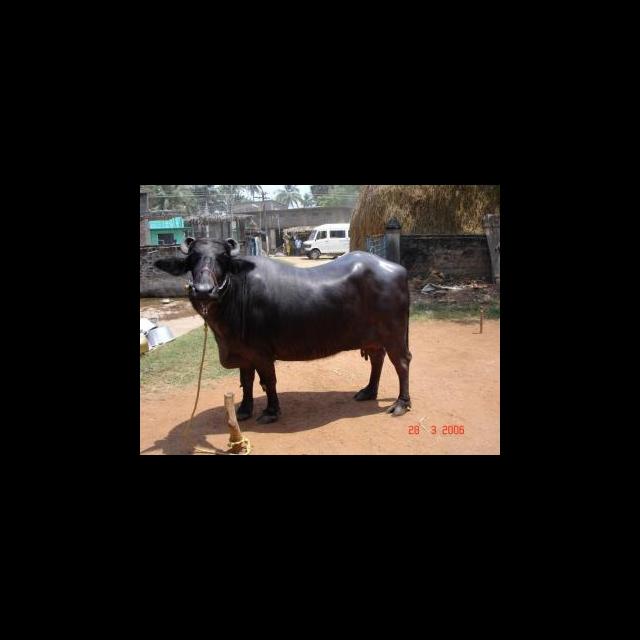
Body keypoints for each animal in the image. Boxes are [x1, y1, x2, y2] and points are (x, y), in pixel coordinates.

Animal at [154, 237, 412, 424]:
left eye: (223, 258)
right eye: (192, 259)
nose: (204, 290)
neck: (237, 295)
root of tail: (398, 269)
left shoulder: (262, 354)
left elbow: (268, 381)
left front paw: (271, 411)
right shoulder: (244, 353)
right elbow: (246, 381)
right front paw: (244, 410)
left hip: (395, 335)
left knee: (402, 363)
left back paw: (401, 403)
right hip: (373, 339)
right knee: (377, 359)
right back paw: (368, 391)